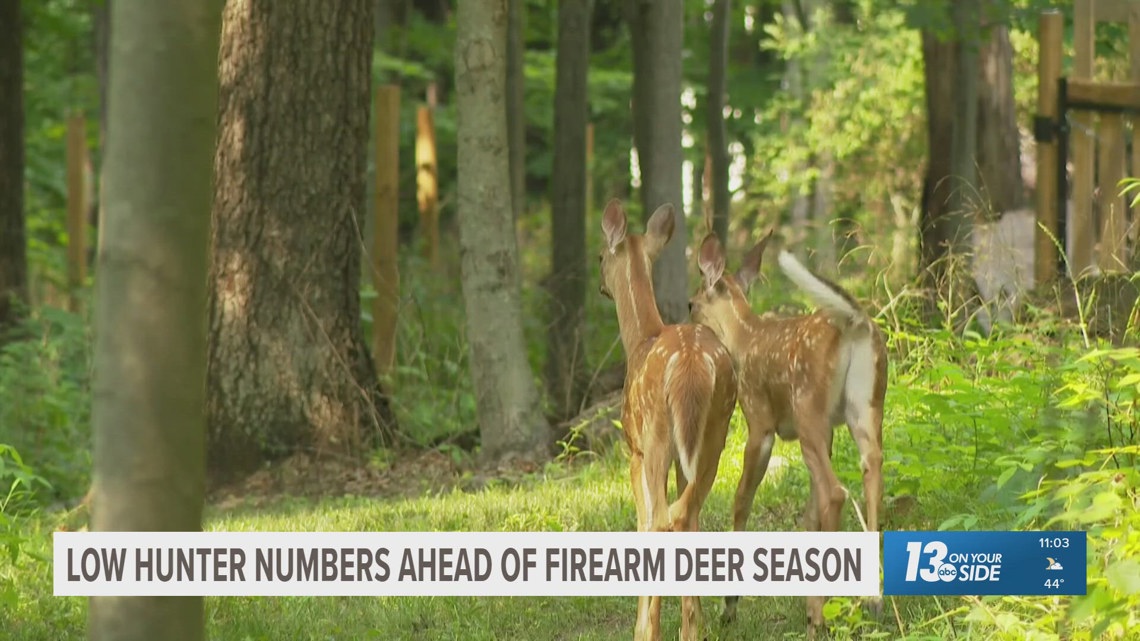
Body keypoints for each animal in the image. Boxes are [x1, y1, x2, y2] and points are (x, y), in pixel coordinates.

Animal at [596, 199, 738, 641]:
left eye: (600, 256)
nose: (601, 285)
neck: (641, 338)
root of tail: (691, 364)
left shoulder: (634, 451)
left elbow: (641, 524)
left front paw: (641, 624)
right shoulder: (682, 456)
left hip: (657, 434)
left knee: (662, 520)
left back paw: (654, 630)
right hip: (715, 434)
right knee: (688, 514)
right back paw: (693, 628)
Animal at [687, 231, 887, 638]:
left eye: (691, 304)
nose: (686, 317)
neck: (744, 339)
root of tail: (856, 323)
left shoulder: (759, 422)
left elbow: (741, 500)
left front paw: (730, 606)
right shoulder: (827, 434)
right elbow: (808, 514)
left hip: (809, 409)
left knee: (835, 492)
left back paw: (823, 615)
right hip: (865, 407)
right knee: (870, 472)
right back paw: (869, 600)